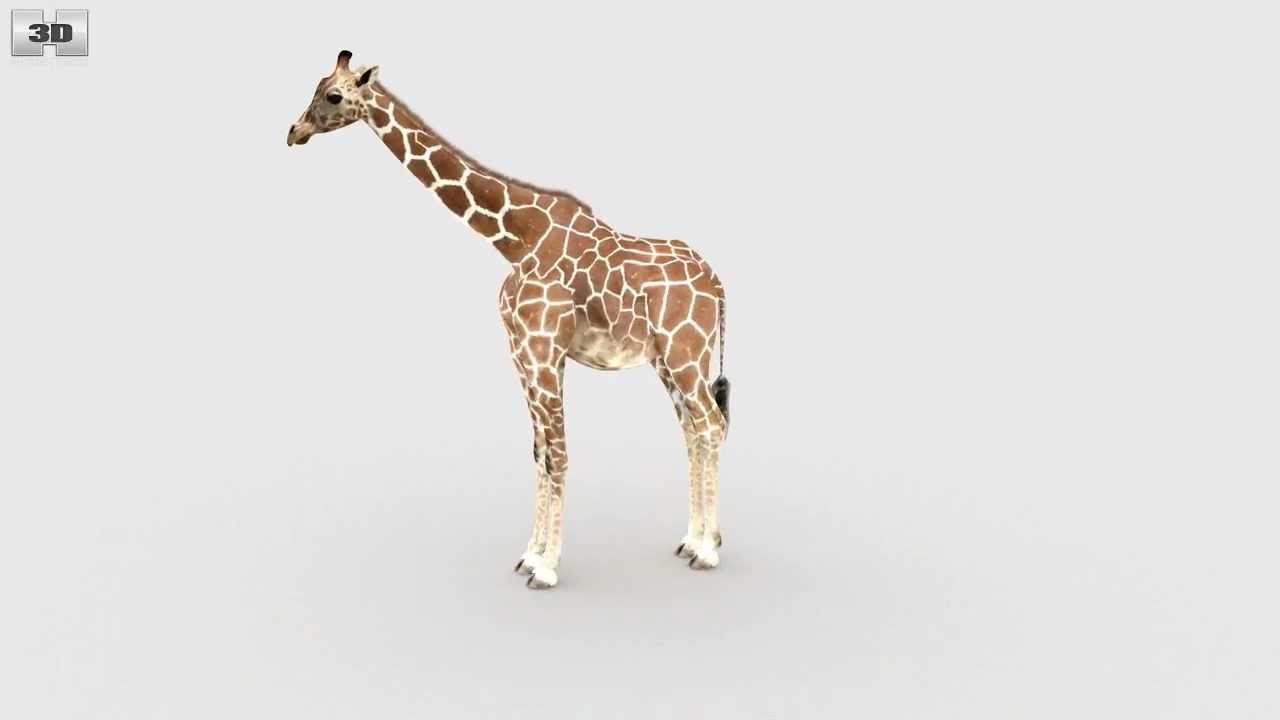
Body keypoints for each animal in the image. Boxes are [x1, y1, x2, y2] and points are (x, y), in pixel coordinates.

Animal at [287, 51, 730, 589]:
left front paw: (547, 568)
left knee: (711, 424)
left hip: (686, 355)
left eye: (333, 96)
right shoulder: (523, 354)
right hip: (671, 361)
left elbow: (558, 452)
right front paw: (530, 556)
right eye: (317, 86)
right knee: (693, 429)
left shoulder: (542, 349)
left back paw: (708, 552)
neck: (514, 237)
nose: (293, 131)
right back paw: (690, 540)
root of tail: (717, 284)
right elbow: (540, 453)